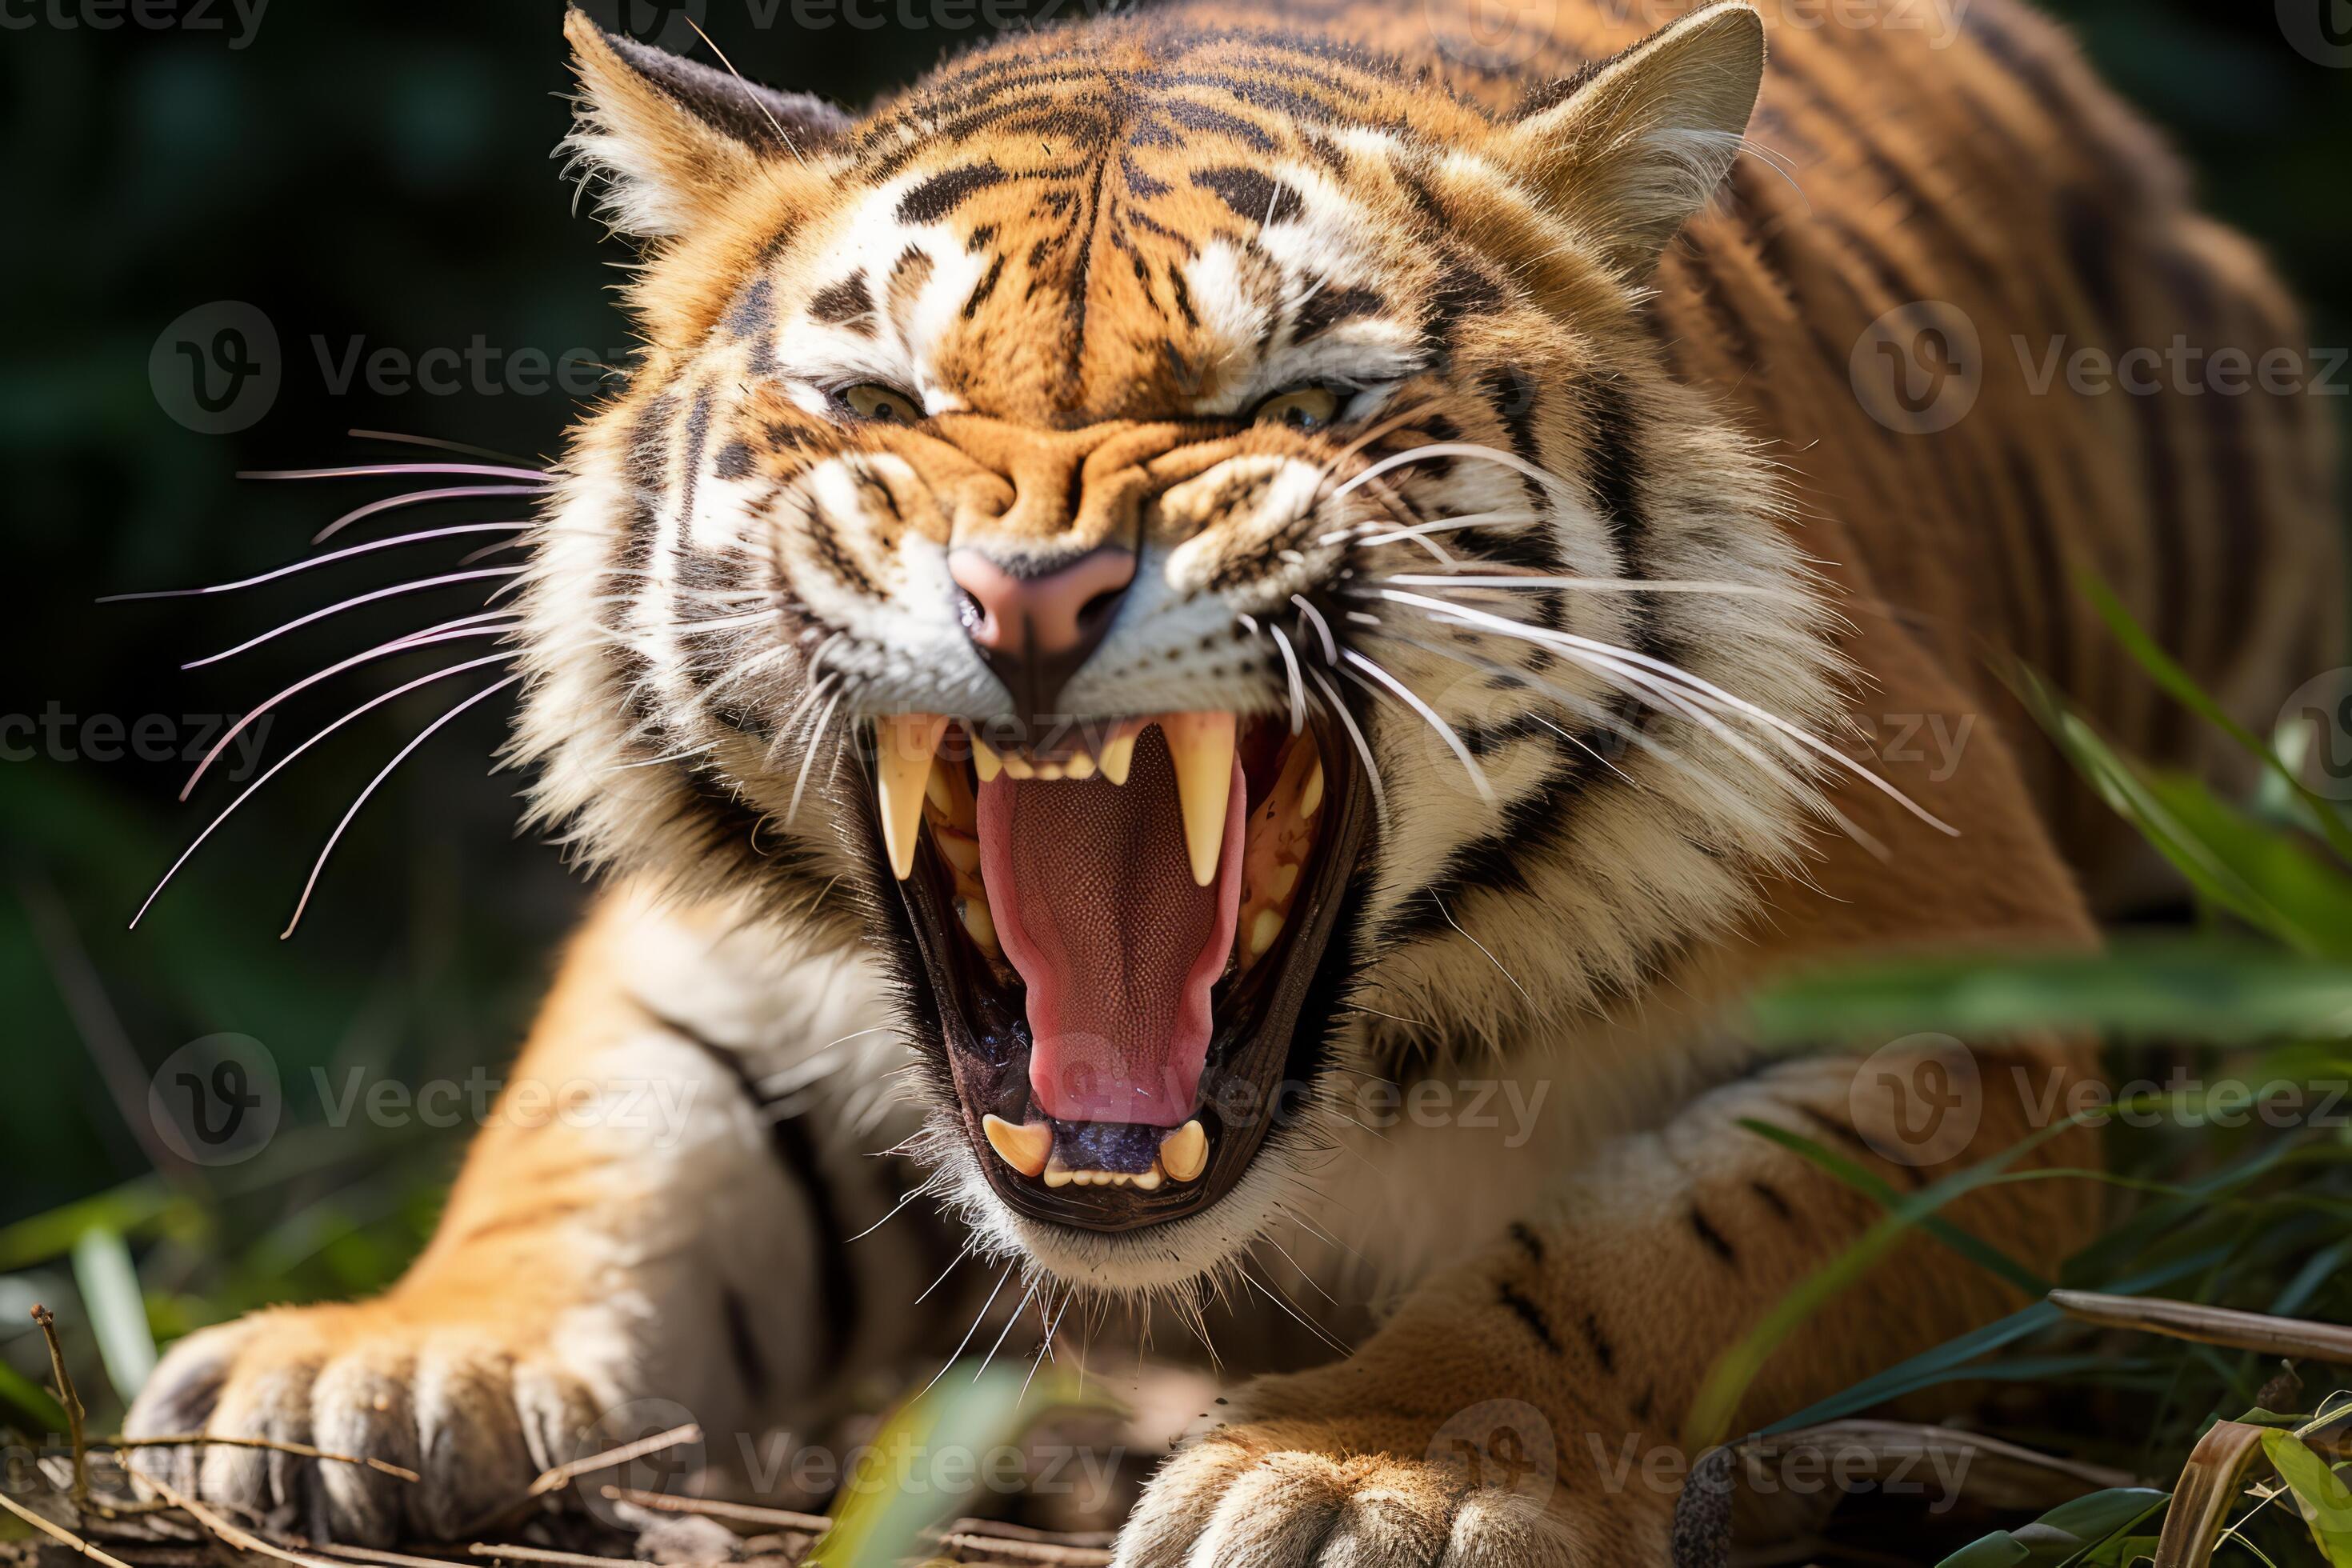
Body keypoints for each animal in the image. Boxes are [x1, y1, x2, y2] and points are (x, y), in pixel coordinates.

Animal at [123, 0, 2343, 1562]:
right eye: (882, 401)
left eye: (1299, 400)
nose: (1027, 592)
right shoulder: (701, 973)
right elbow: (593, 1162)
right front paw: (382, 1363)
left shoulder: (1969, 1025)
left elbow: (1645, 1252)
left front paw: (1383, 1475)